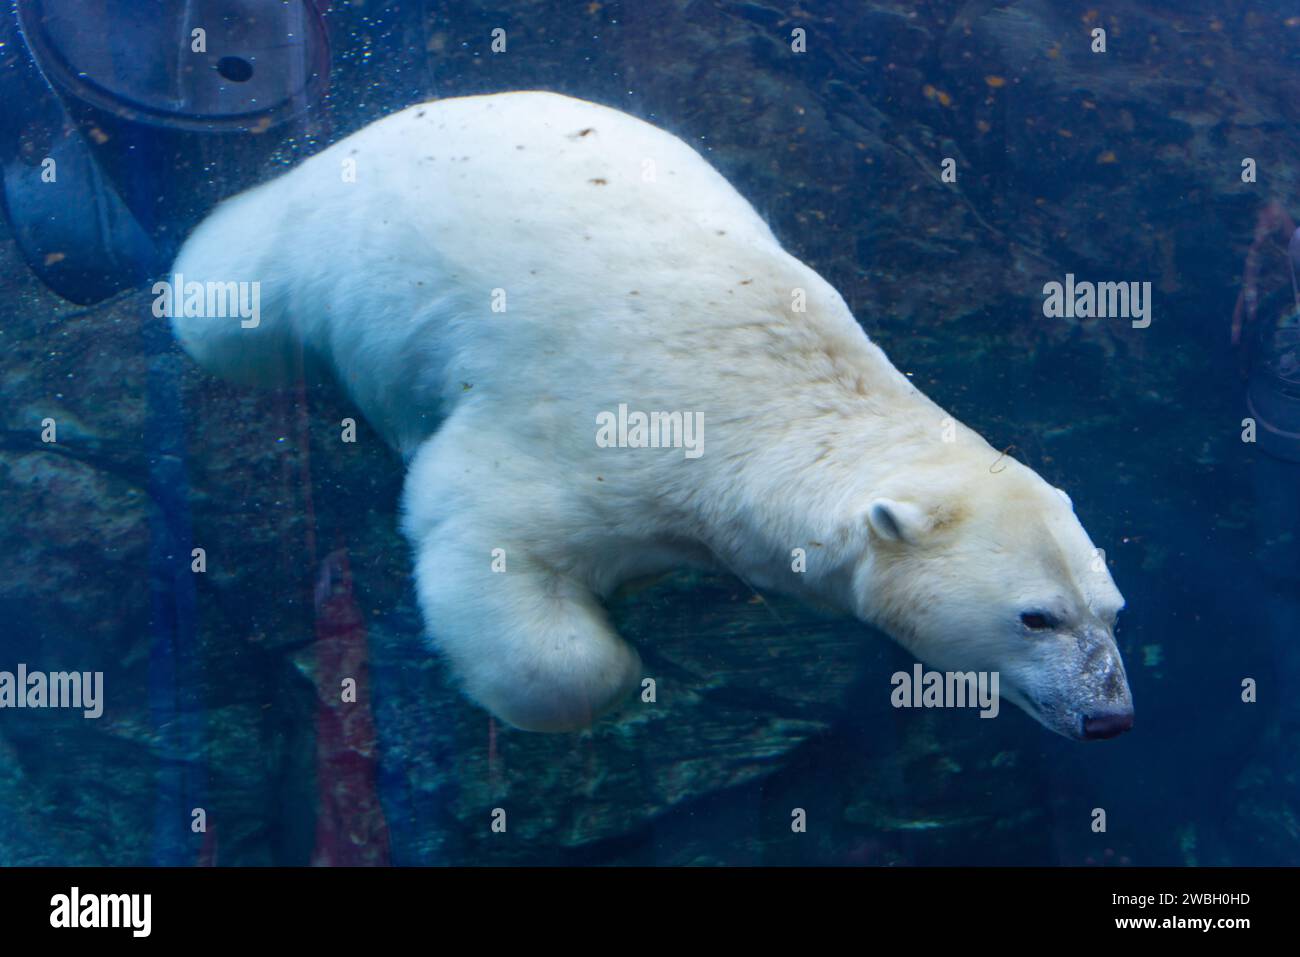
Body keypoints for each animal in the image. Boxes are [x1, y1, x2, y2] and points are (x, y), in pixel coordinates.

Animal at [170, 91, 1134, 740]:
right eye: (1037, 616)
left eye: (1113, 609)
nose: (1111, 715)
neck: (767, 400)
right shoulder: (587, 433)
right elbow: (488, 540)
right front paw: (620, 667)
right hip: (319, 246)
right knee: (234, 296)